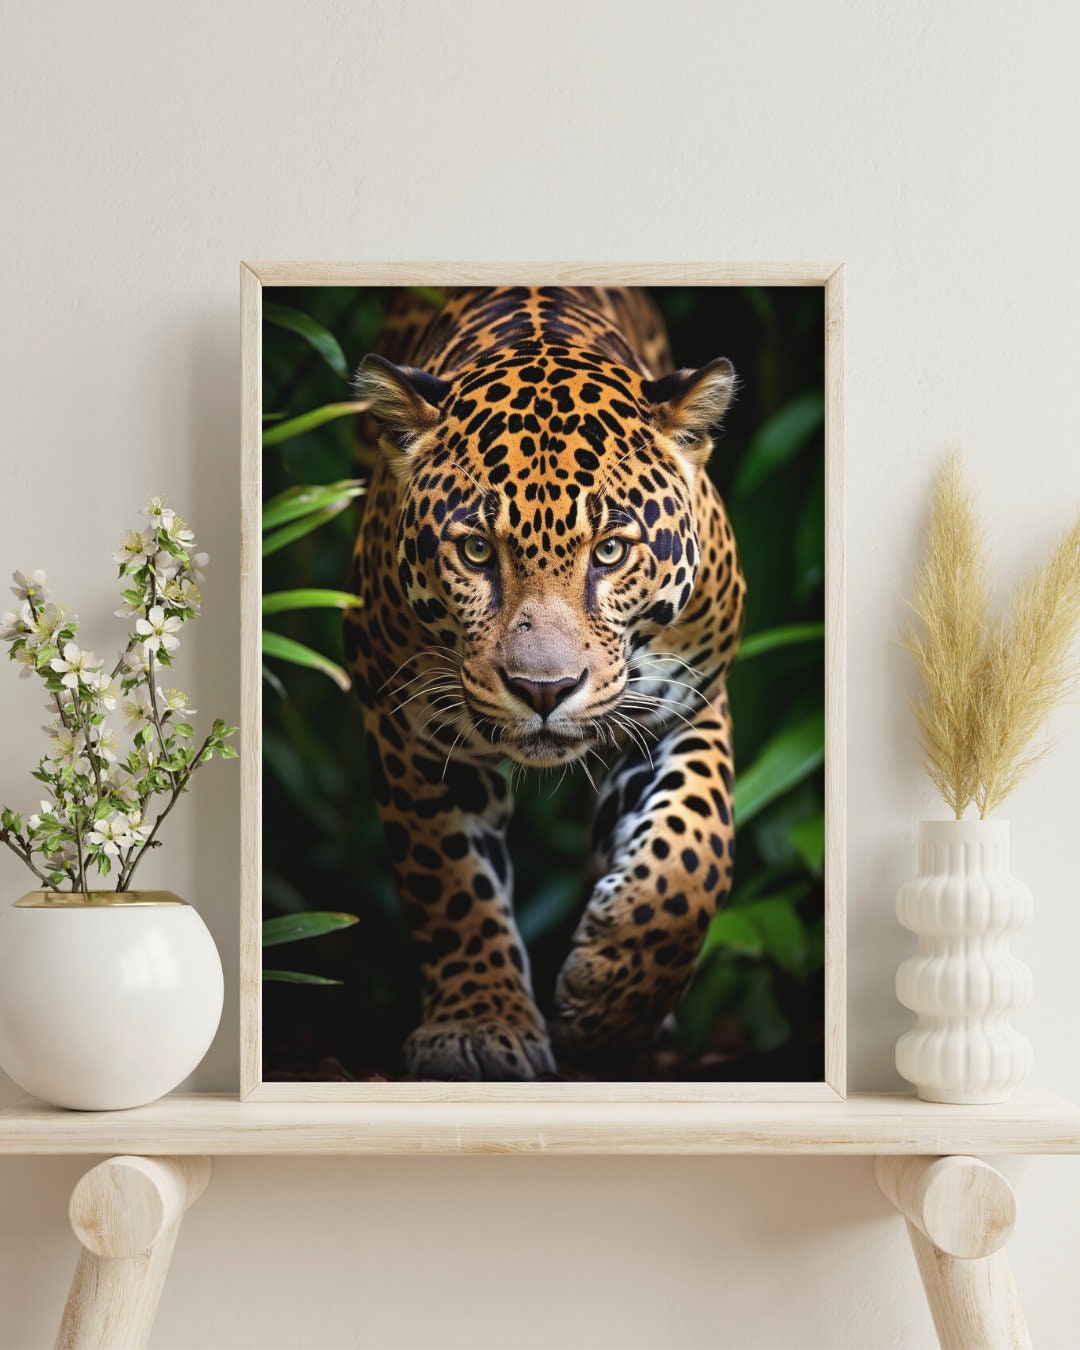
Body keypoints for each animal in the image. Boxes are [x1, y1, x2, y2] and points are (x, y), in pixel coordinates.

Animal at [346, 285, 744, 1080]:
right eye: (475, 551)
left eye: (611, 551)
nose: (543, 690)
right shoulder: (408, 724)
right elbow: (450, 883)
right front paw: (476, 1027)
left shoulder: (688, 702)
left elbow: (694, 854)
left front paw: (609, 1003)